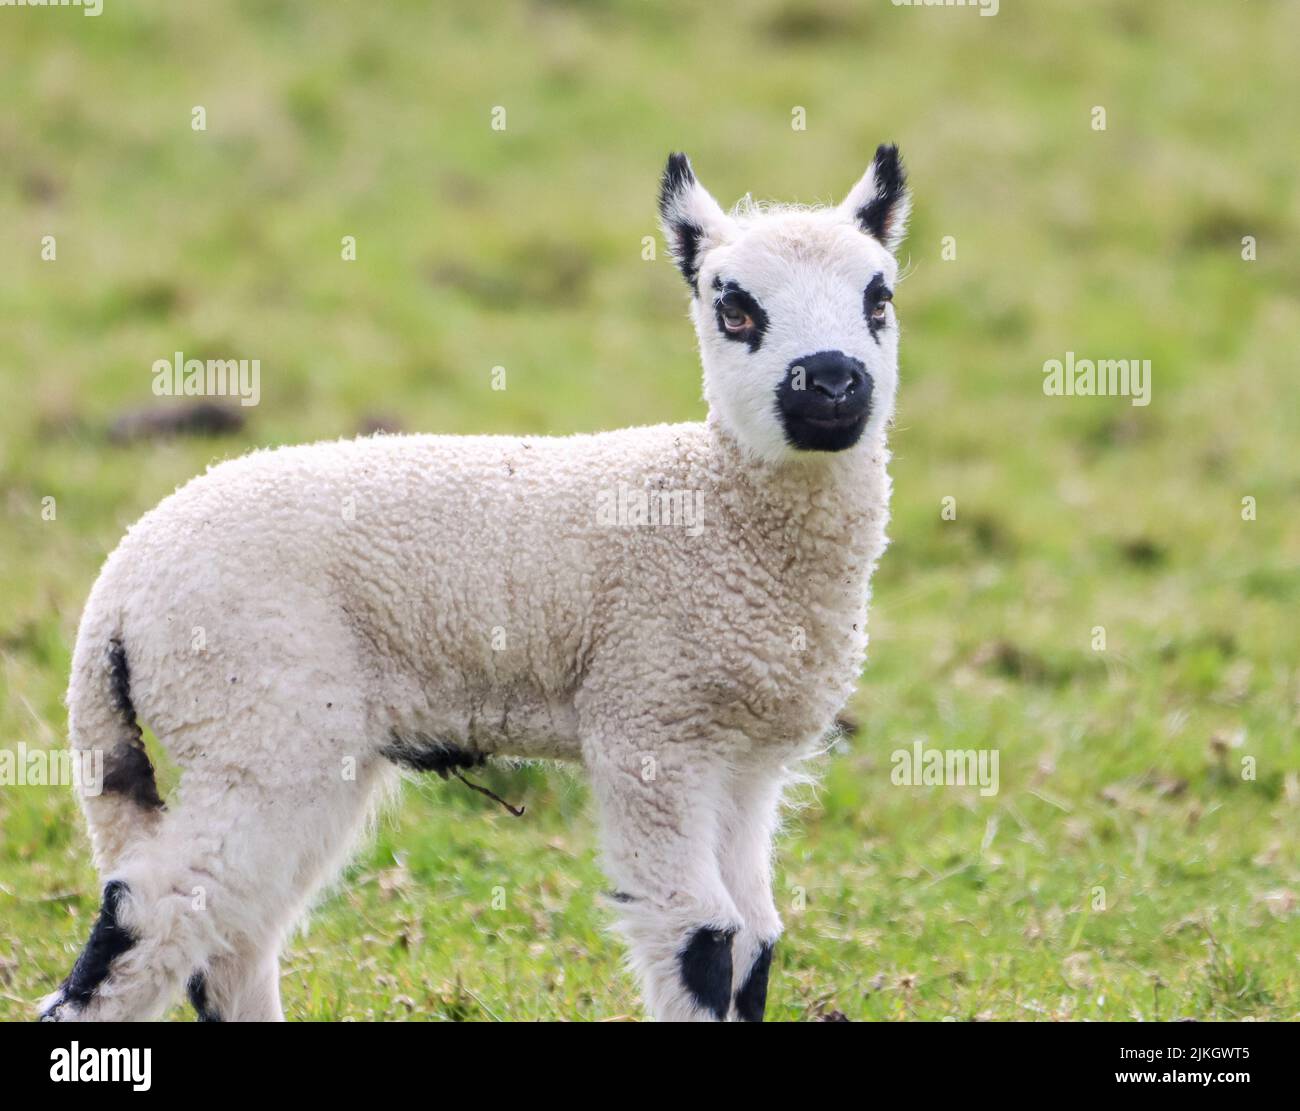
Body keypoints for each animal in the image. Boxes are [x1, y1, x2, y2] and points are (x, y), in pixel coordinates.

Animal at [42, 144, 910, 1023]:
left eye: (880, 299)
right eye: (734, 310)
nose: (831, 381)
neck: (719, 517)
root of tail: (117, 589)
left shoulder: (747, 757)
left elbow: (756, 936)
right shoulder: (649, 724)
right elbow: (702, 931)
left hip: (297, 745)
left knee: (228, 939)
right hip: (255, 716)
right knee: (153, 911)